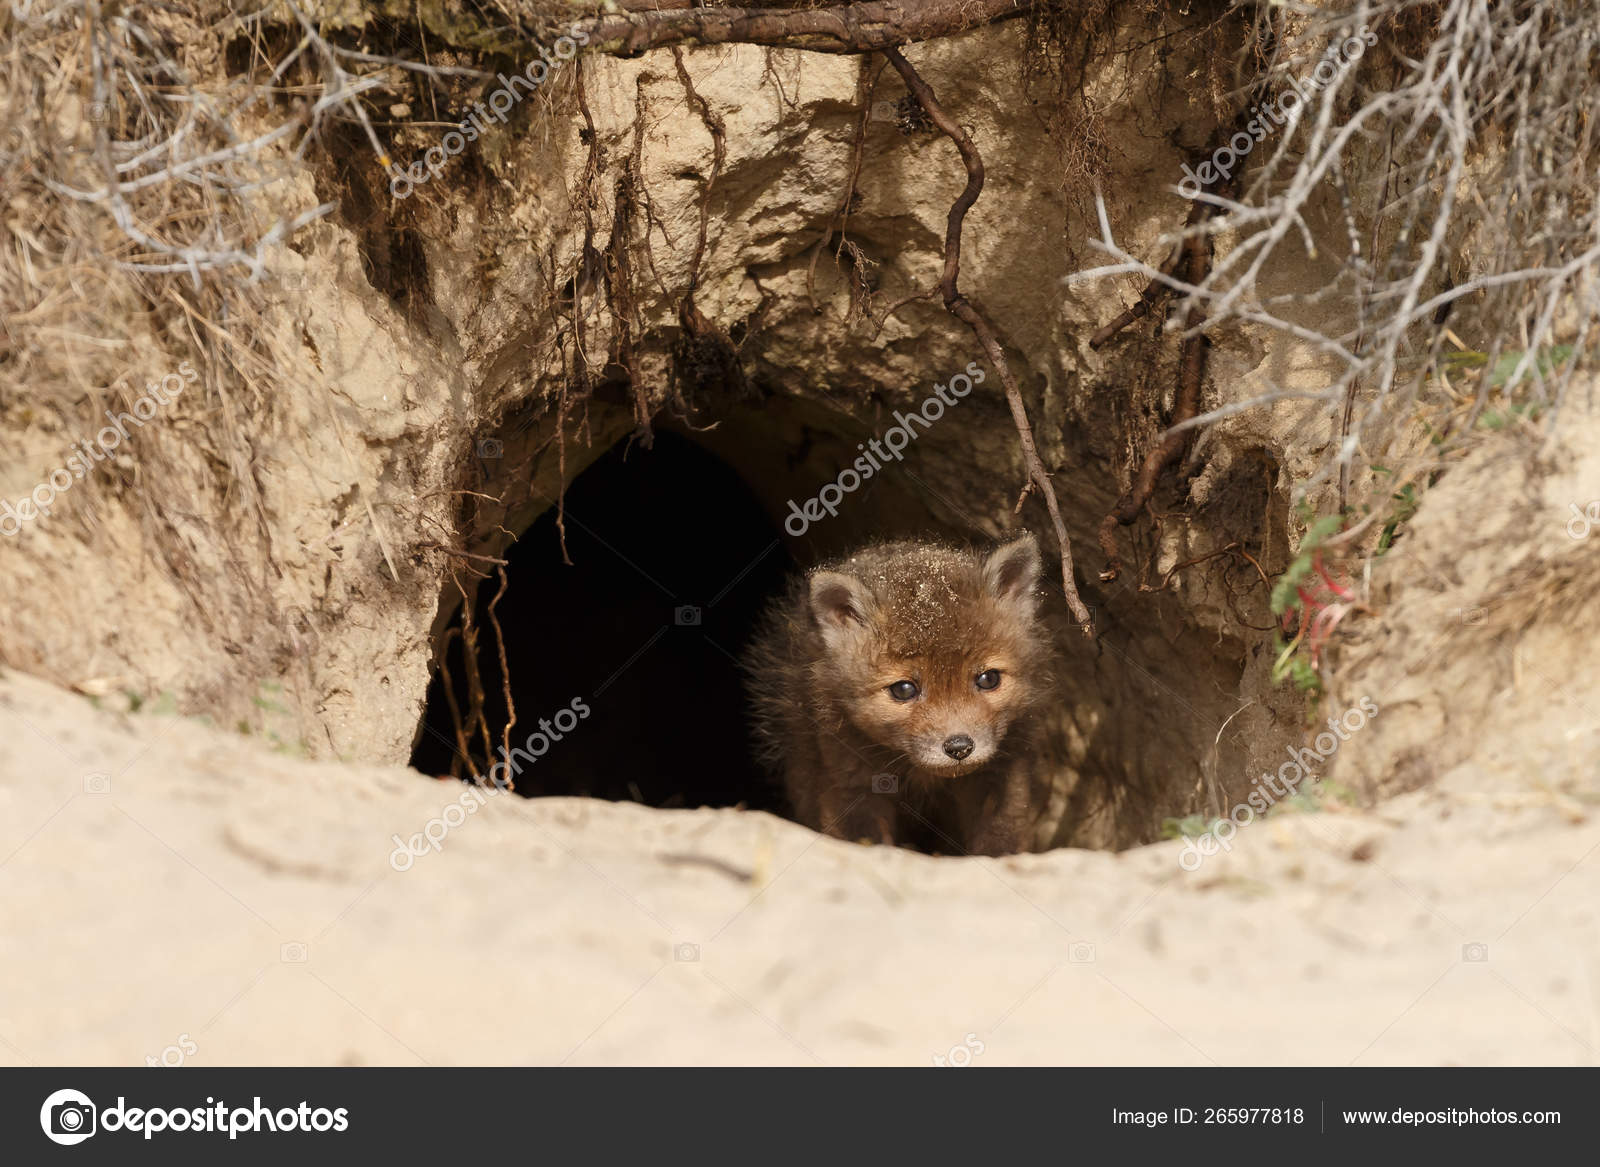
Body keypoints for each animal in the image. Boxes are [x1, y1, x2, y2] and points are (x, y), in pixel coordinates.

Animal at [745, 532, 1054, 856]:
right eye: (904, 689)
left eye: (988, 678)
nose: (959, 747)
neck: (920, 777)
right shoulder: (846, 781)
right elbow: (863, 840)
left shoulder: (1003, 774)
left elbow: (1001, 838)